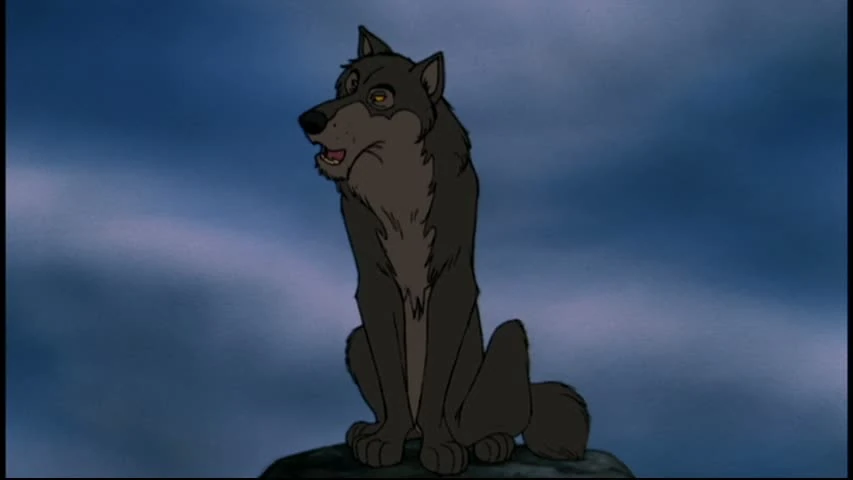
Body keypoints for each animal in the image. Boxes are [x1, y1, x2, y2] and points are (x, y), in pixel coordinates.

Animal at [297, 26, 590, 475]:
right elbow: (395, 385)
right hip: (356, 339)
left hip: (510, 337)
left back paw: (488, 443)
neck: (397, 188)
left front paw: (441, 449)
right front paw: (385, 442)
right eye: (346, 85)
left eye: (379, 97)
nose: (309, 120)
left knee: (488, 423)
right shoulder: (375, 288)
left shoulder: (452, 284)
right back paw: (370, 431)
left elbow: (436, 385)